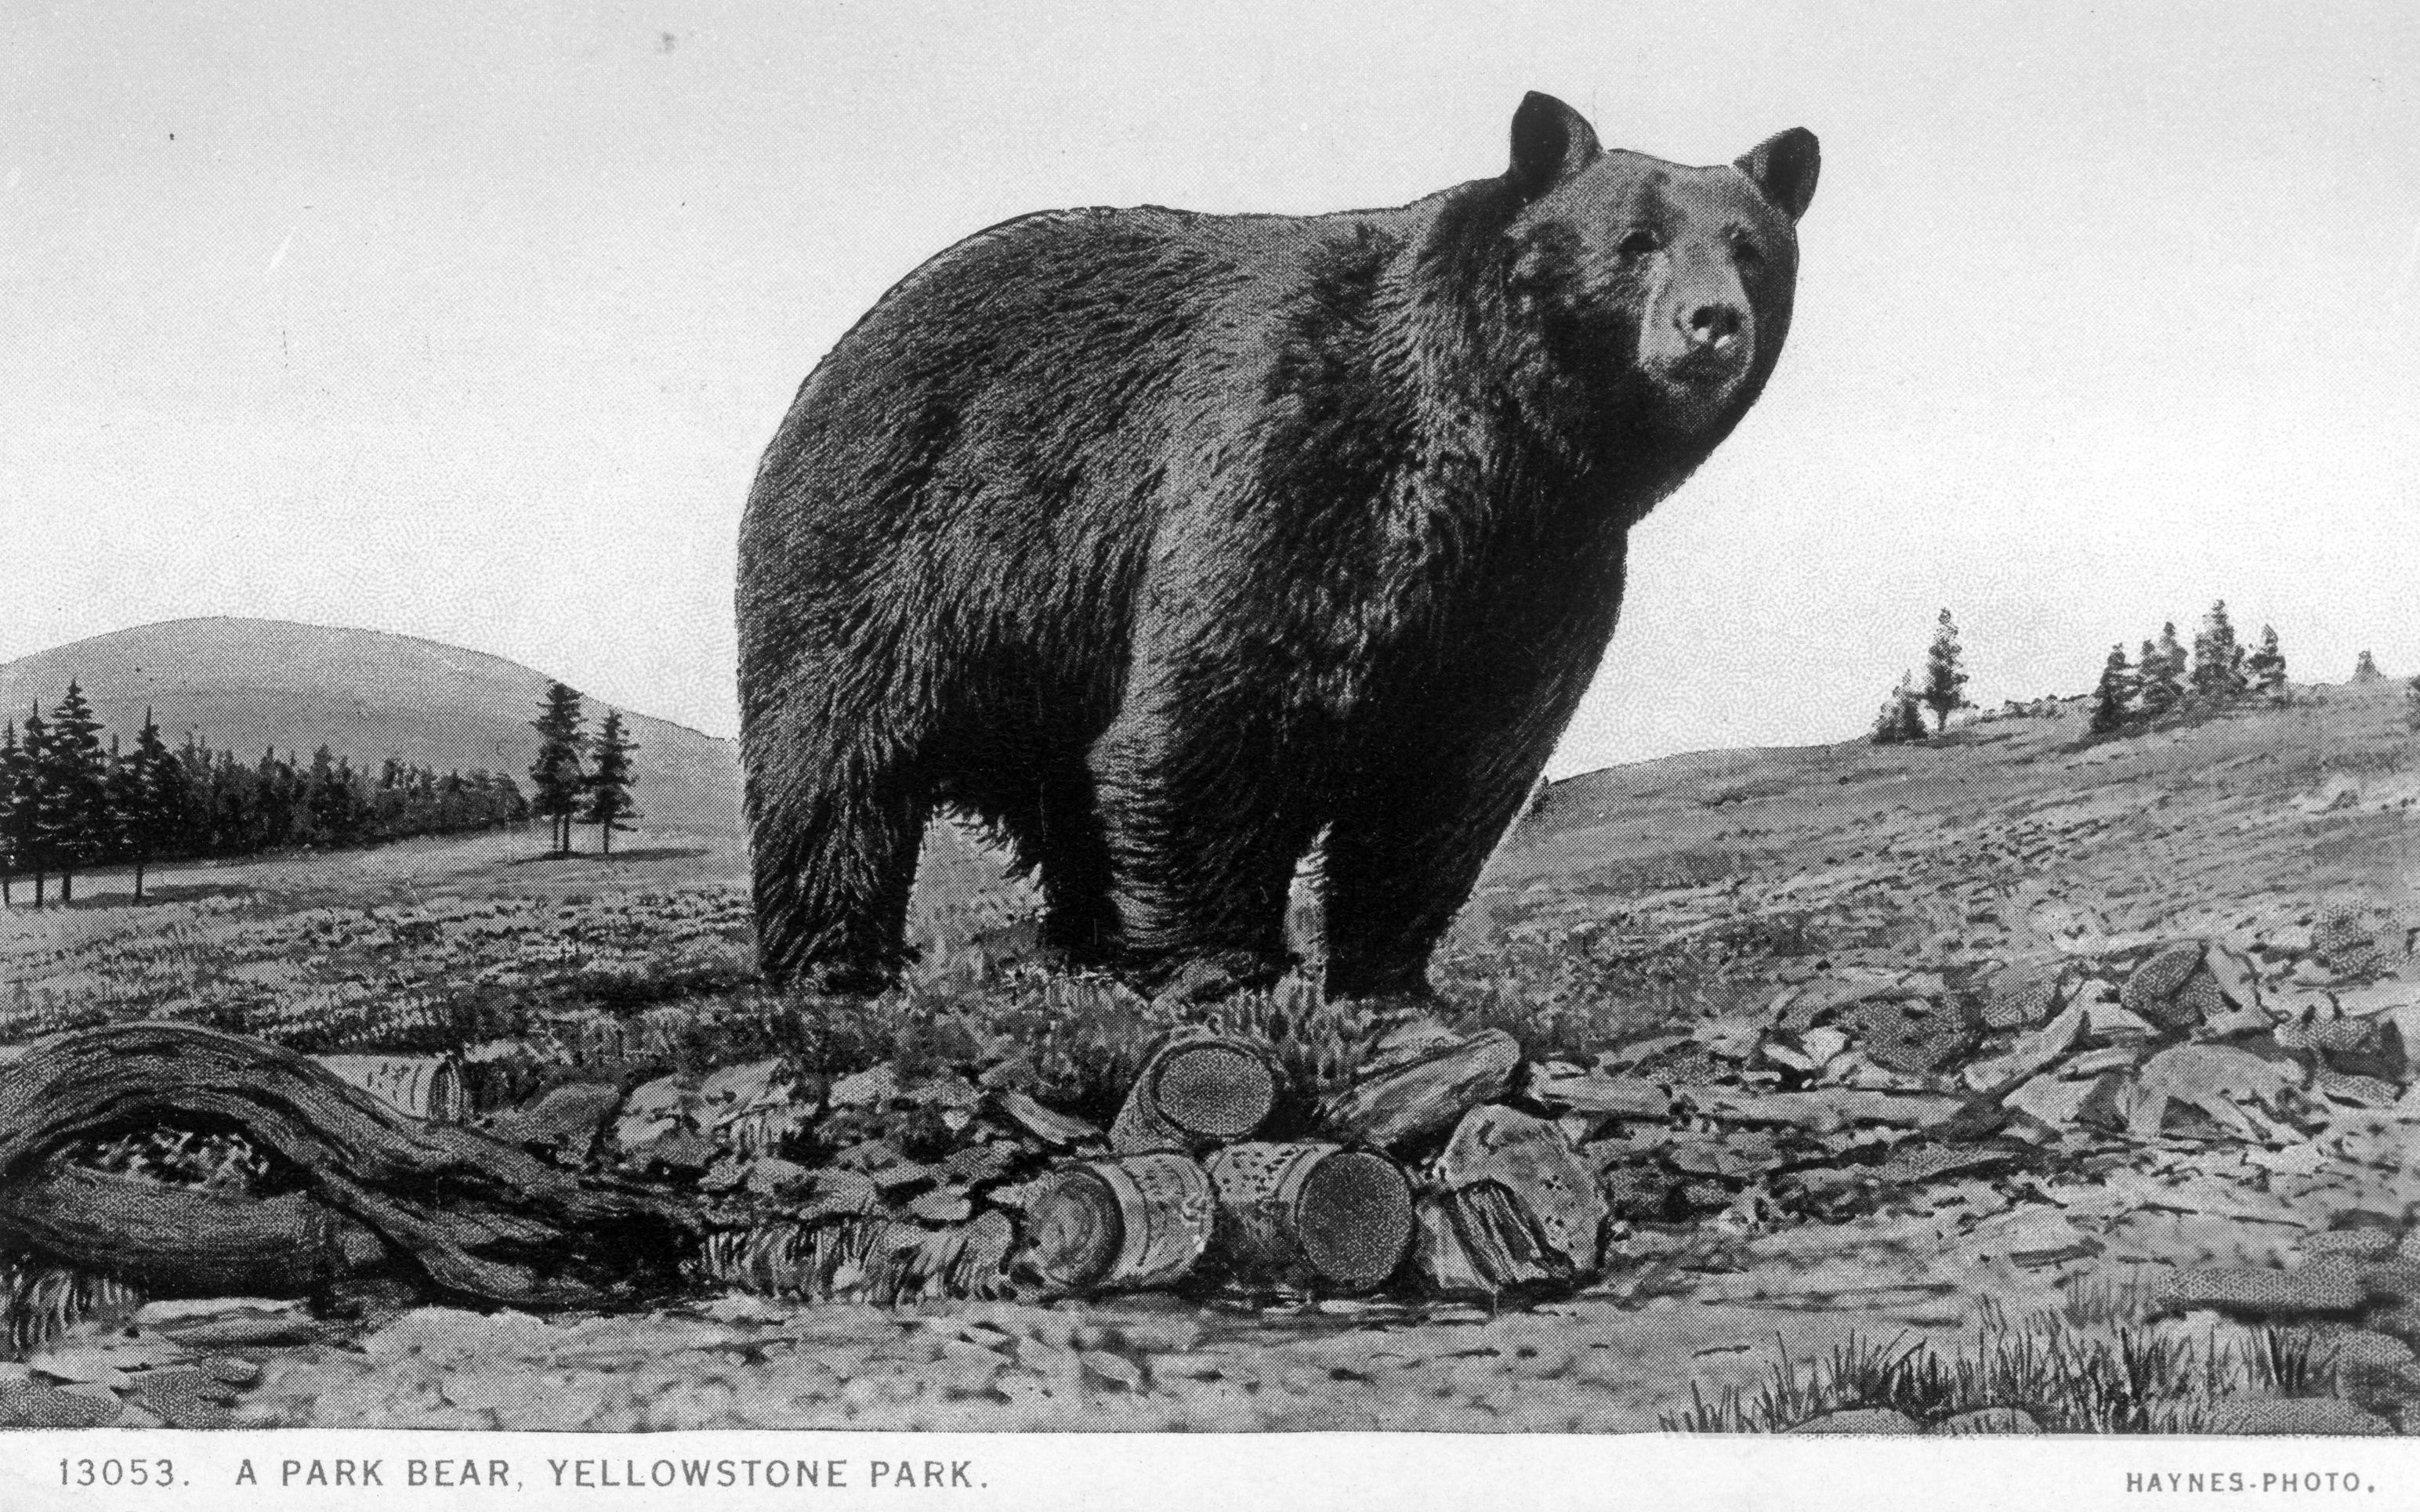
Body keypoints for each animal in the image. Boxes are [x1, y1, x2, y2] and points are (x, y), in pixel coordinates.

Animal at [738, 92, 1817, 1000]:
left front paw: (1387, 974)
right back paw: (836, 962)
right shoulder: (1291, 467)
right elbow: (1209, 713)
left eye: (1750, 249)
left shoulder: (1536, 581)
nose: (1712, 321)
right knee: (836, 762)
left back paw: (1092, 946)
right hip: (892, 548)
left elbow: (1448, 779)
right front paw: (1226, 963)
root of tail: (842, 351)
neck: (1503, 456)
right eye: (1634, 240)